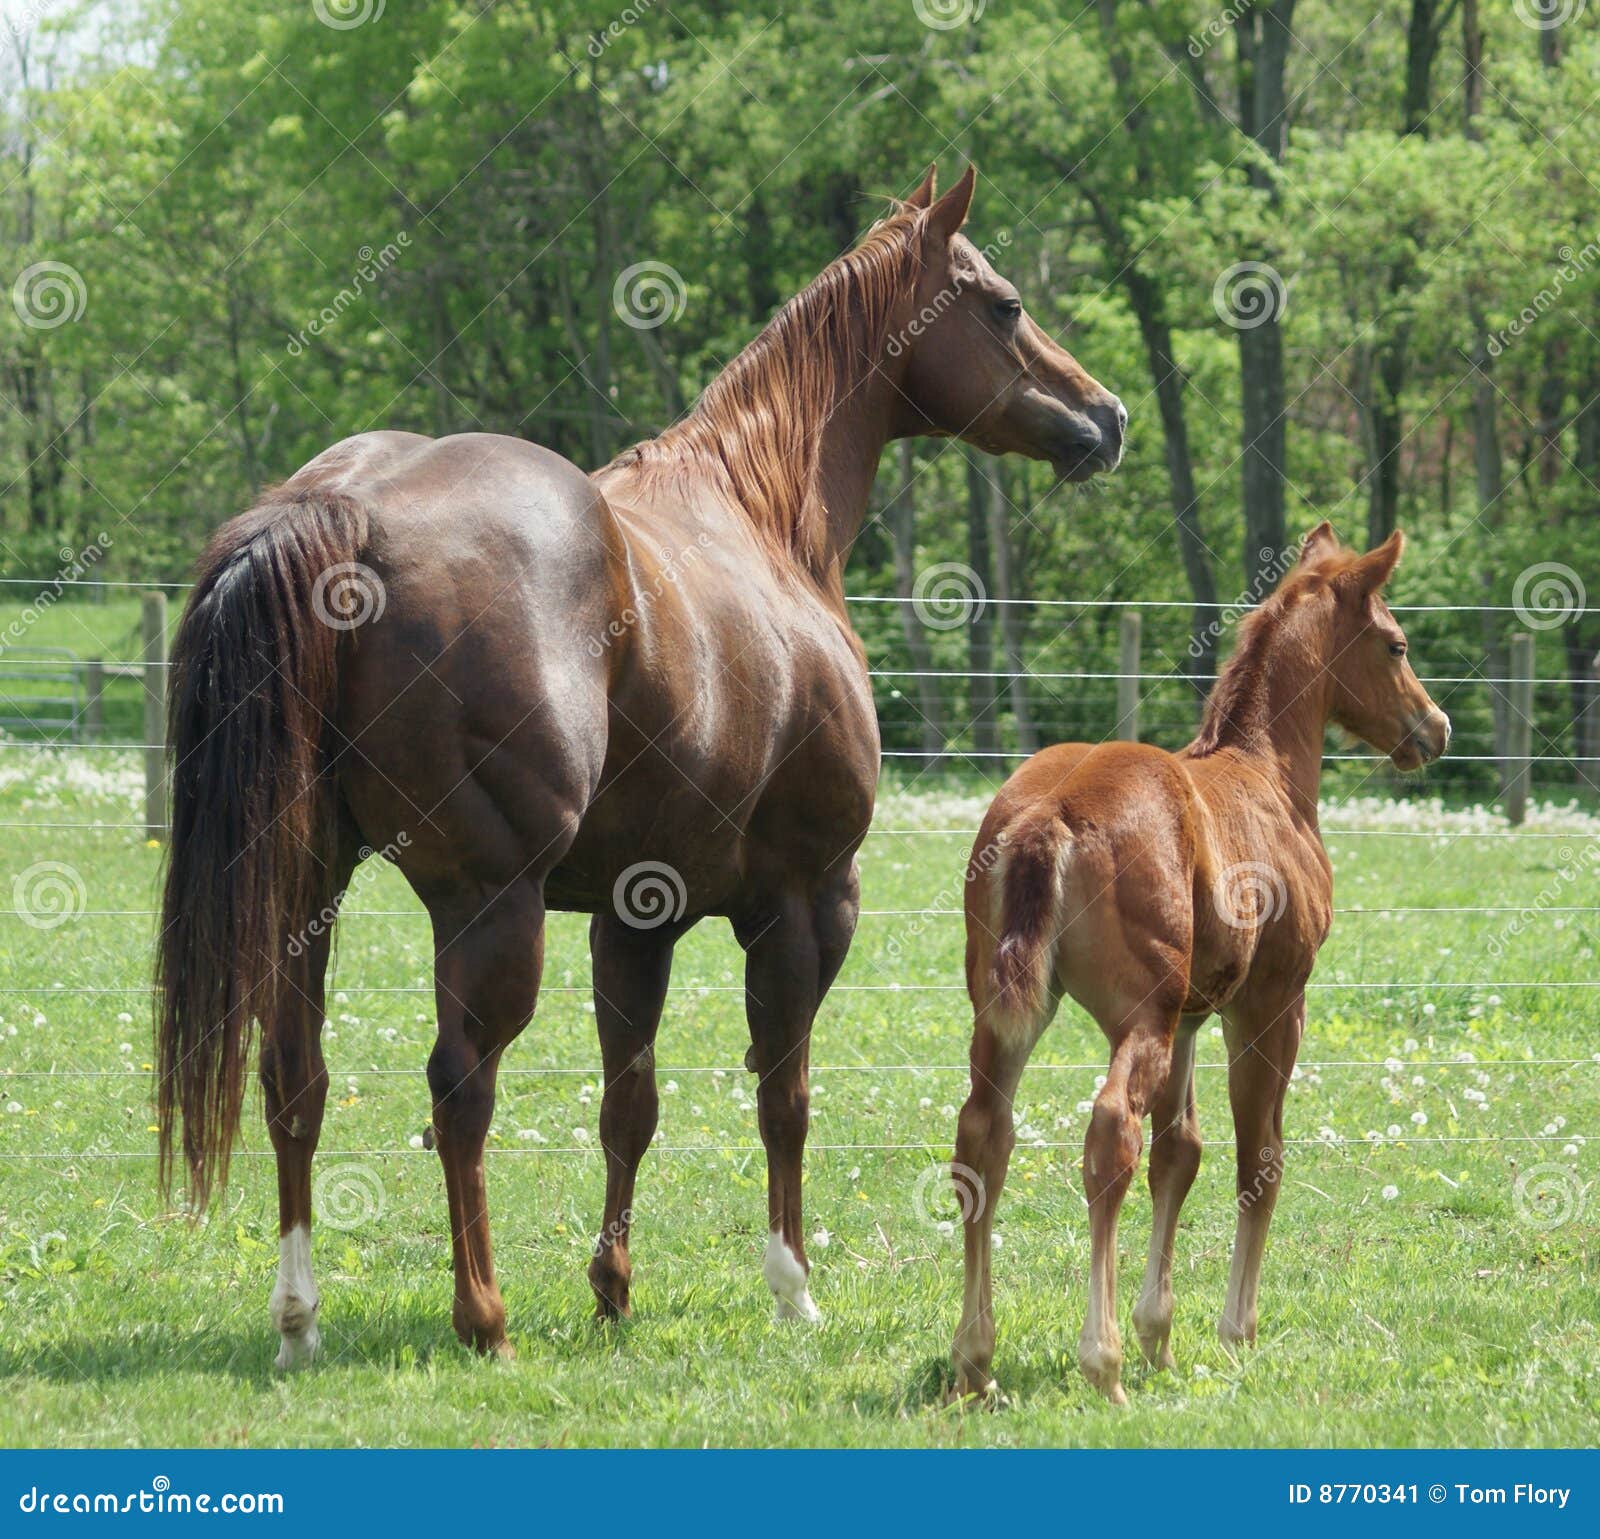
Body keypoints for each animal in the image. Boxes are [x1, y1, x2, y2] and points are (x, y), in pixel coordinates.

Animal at [155, 163, 1126, 1368]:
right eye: (1001, 304)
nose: (1106, 417)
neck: (761, 517)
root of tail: (346, 510)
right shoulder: (805, 901)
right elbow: (783, 1094)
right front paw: (792, 1287)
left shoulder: (635, 914)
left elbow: (631, 1105)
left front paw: (613, 1286)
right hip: (488, 905)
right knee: (459, 1087)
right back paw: (482, 1316)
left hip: (307, 889)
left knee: (295, 1076)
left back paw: (299, 1320)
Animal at [949, 523, 1450, 1404]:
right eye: (1396, 644)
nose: (1436, 725)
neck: (1267, 773)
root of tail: (1049, 811)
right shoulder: (1271, 1004)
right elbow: (1261, 1157)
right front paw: (1233, 1330)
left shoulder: (1190, 1015)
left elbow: (1179, 1153)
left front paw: (1161, 1336)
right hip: (1137, 1016)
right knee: (1109, 1136)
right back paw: (1103, 1362)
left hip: (1009, 1013)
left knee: (985, 1134)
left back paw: (977, 1358)